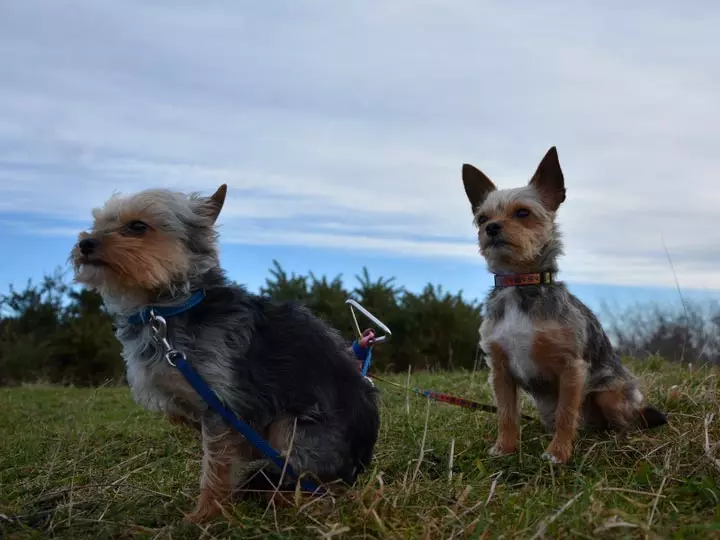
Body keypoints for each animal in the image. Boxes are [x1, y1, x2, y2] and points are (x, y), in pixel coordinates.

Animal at [70, 184, 380, 520]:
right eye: (98, 223)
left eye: (138, 226)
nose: (85, 243)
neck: (167, 308)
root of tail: (359, 465)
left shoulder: (221, 405)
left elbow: (216, 465)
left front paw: (204, 515)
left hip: (292, 427)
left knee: (322, 487)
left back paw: (284, 498)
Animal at [462, 147, 664, 464]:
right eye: (482, 218)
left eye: (523, 212)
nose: (491, 228)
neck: (521, 284)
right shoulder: (500, 370)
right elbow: (506, 414)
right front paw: (505, 449)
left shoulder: (571, 368)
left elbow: (567, 415)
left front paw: (558, 453)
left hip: (609, 394)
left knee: (626, 422)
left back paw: (618, 438)